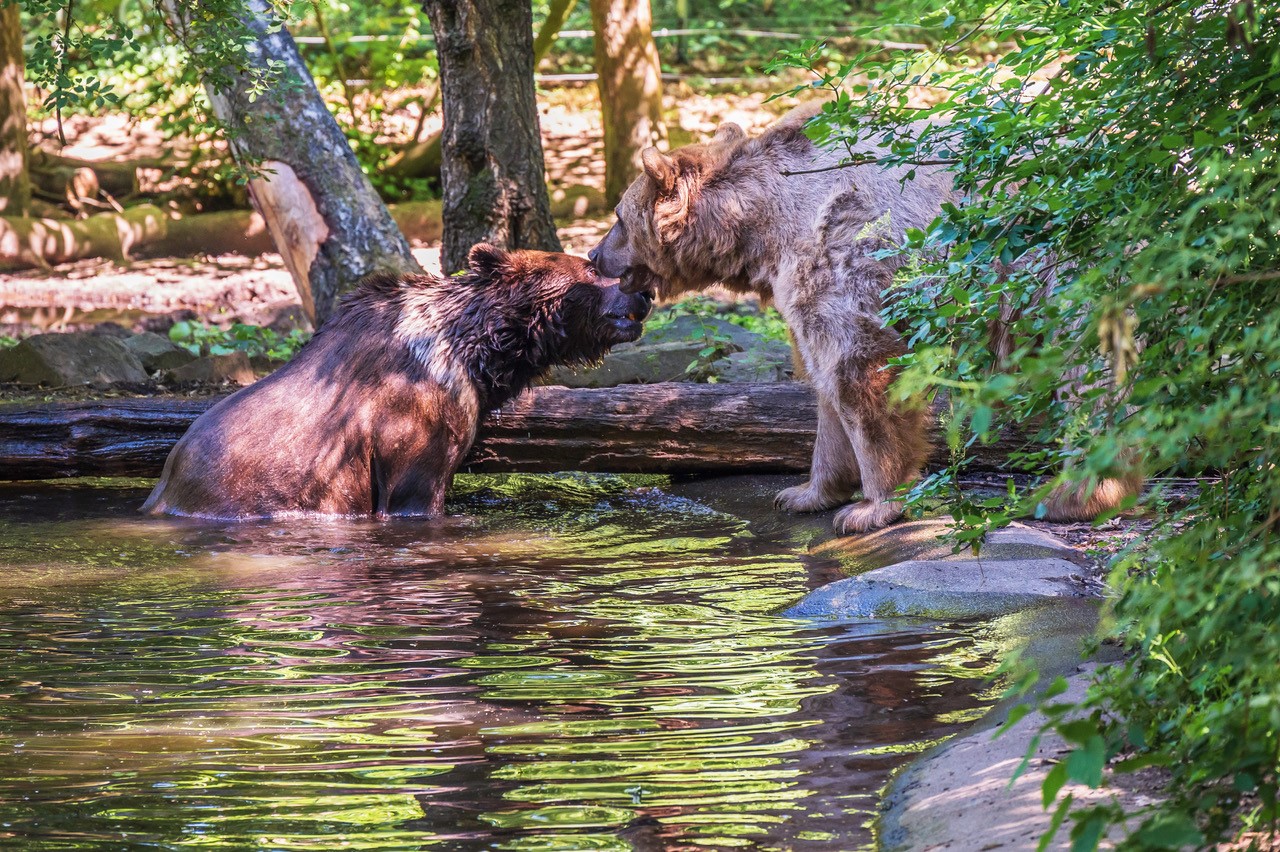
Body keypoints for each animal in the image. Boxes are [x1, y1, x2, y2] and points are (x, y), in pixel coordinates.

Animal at [142, 245, 653, 519]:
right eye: (591, 268)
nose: (644, 292)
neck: (479, 352)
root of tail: (166, 487)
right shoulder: (412, 423)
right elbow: (416, 490)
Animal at [588, 104, 1140, 534]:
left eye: (617, 217)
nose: (594, 255)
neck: (760, 229)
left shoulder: (844, 257)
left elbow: (859, 376)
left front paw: (872, 507)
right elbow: (822, 385)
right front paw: (807, 491)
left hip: (1060, 269)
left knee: (1089, 382)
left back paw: (1074, 495)